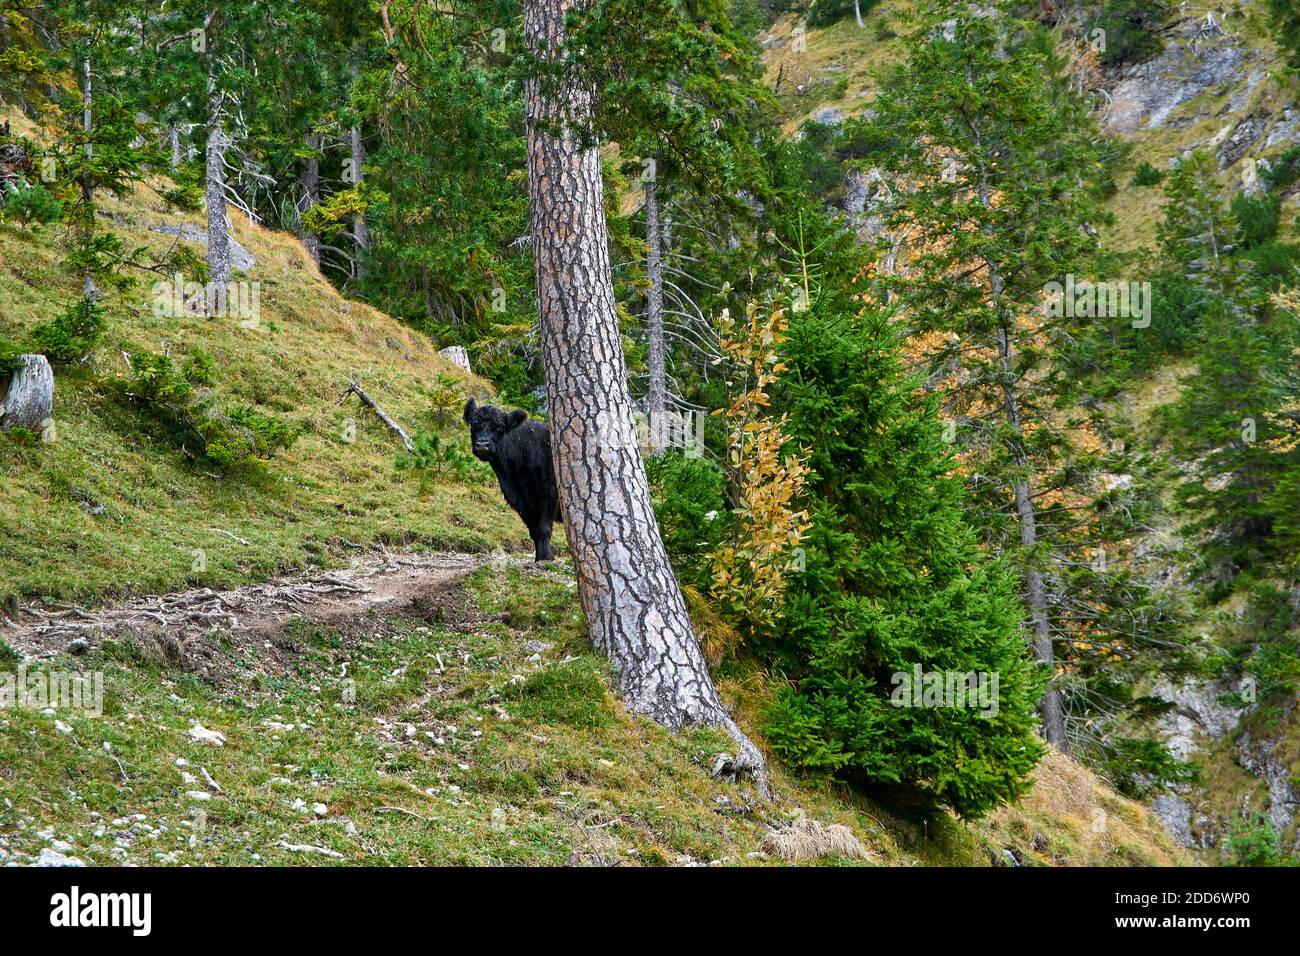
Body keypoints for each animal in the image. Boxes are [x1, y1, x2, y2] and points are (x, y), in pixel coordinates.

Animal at [463, 397, 561, 561]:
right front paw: (538, 559)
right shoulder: (523, 503)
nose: (482, 445)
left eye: (500, 427)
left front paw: (546, 559)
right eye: (473, 425)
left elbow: (543, 530)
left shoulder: (547, 495)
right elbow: (534, 533)